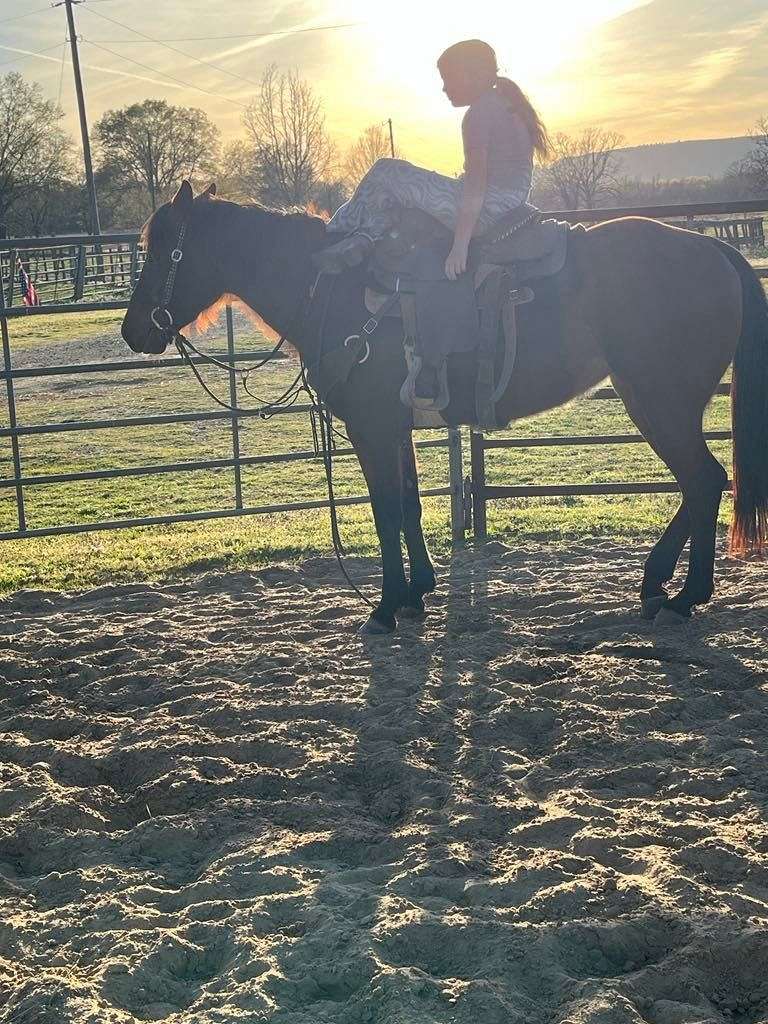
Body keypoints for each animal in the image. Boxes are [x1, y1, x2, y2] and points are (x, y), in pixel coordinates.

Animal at [121, 180, 768, 635]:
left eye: (162, 251)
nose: (133, 331)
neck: (331, 289)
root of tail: (713, 250)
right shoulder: (393, 427)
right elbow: (408, 505)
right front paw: (416, 595)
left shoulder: (371, 426)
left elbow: (386, 510)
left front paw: (384, 608)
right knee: (702, 483)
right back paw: (659, 586)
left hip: (659, 400)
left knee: (705, 480)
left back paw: (682, 597)